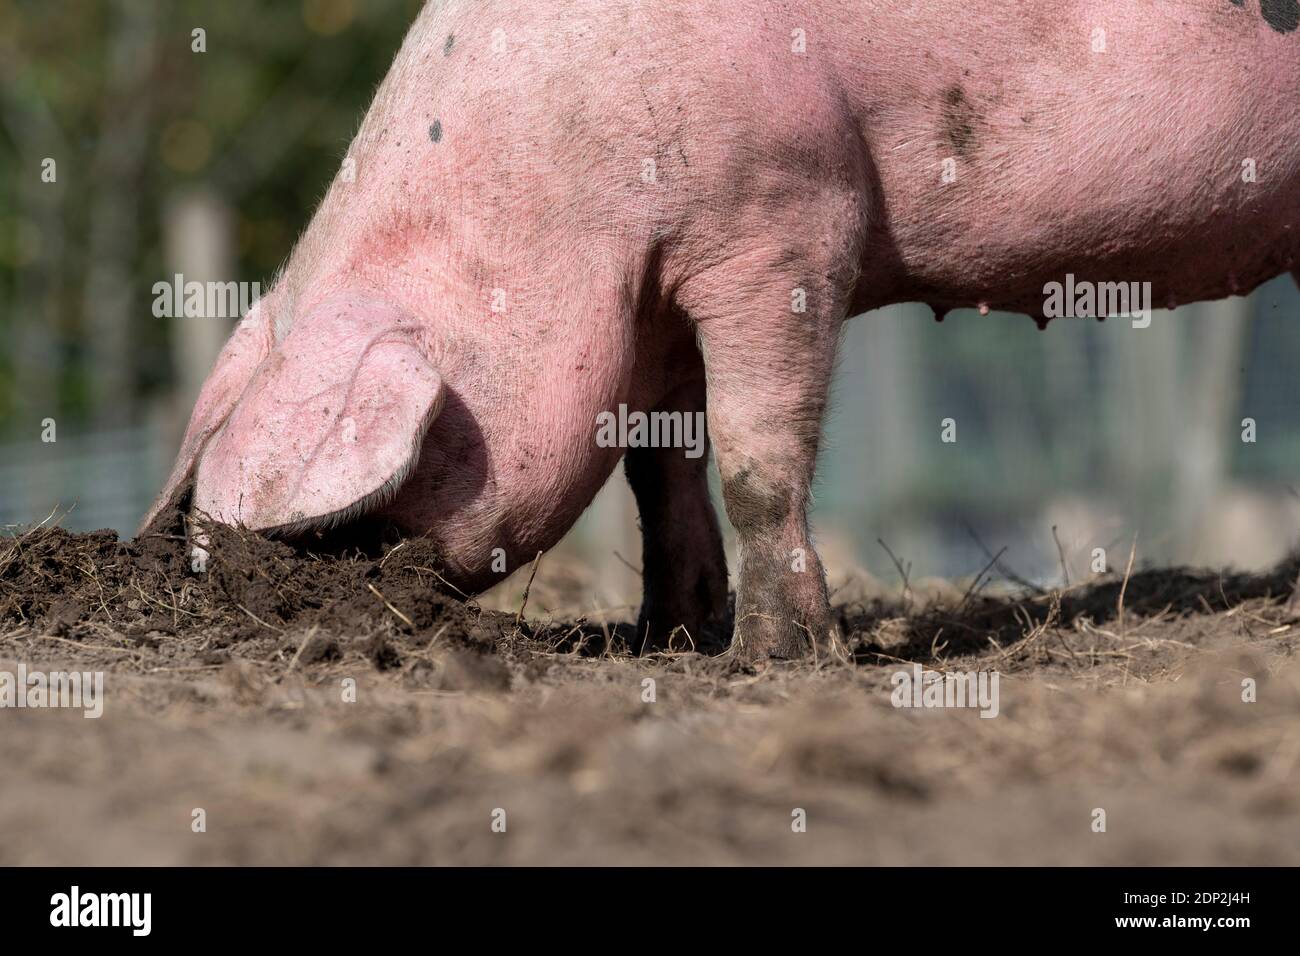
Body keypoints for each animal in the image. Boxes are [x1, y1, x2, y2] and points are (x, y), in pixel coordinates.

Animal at [142, 0, 1300, 661]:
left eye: (341, 528)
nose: (303, 620)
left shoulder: (780, 220)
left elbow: (752, 453)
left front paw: (782, 658)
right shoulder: (655, 303)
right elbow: (658, 471)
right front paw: (674, 640)